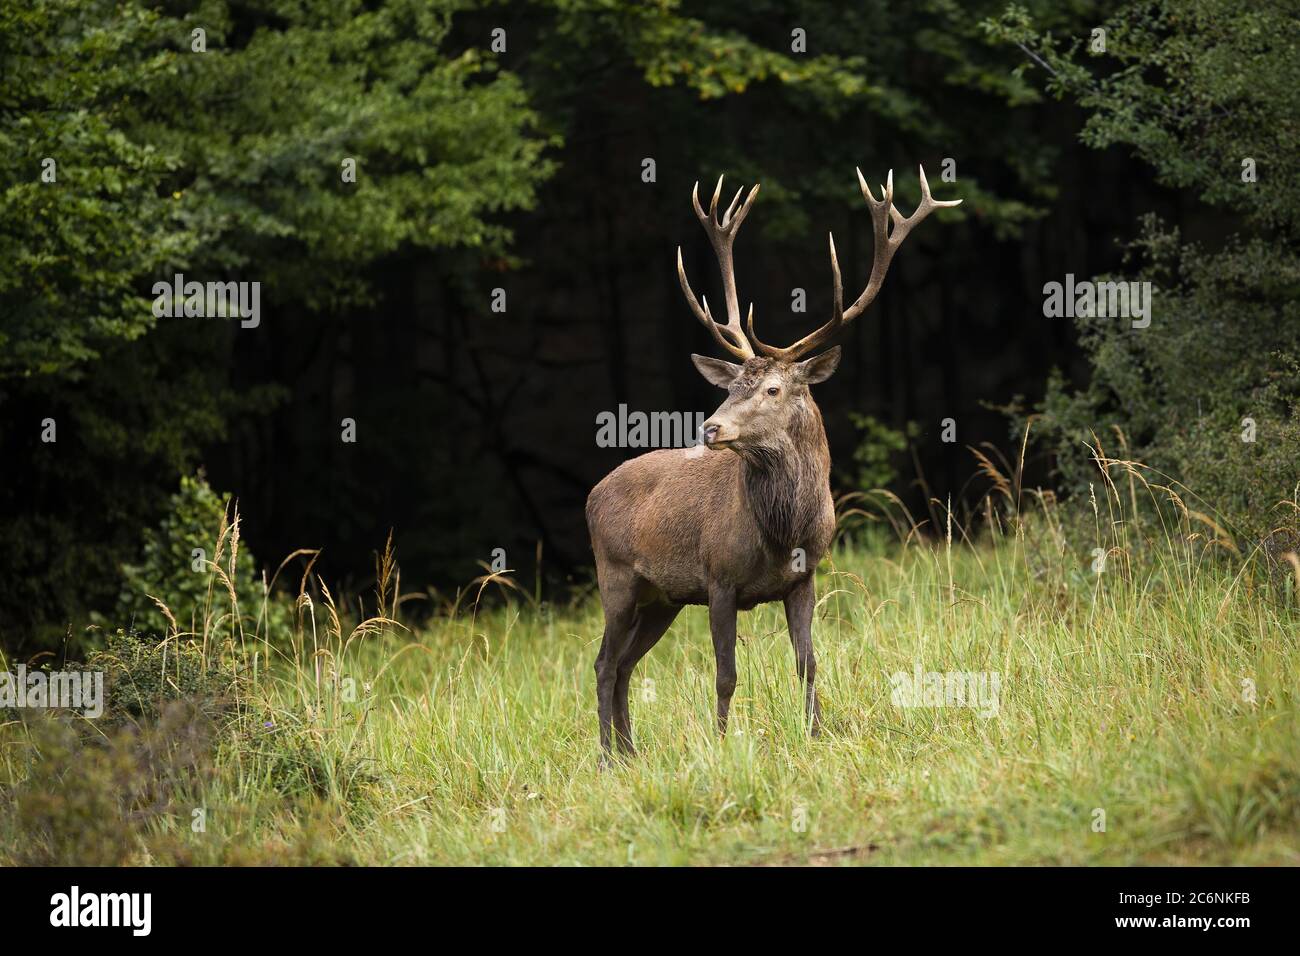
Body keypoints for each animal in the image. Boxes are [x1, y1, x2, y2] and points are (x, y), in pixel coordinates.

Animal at [586, 166, 960, 758]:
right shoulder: (718, 579)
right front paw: (722, 745)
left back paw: (629, 752)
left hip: (663, 597)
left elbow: (809, 664)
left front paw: (817, 734)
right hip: (616, 576)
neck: (785, 532)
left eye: (773, 388)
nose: (710, 428)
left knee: (623, 664)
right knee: (604, 663)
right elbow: (725, 674)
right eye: (731, 386)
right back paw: (606, 757)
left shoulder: (805, 579)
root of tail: (592, 493)